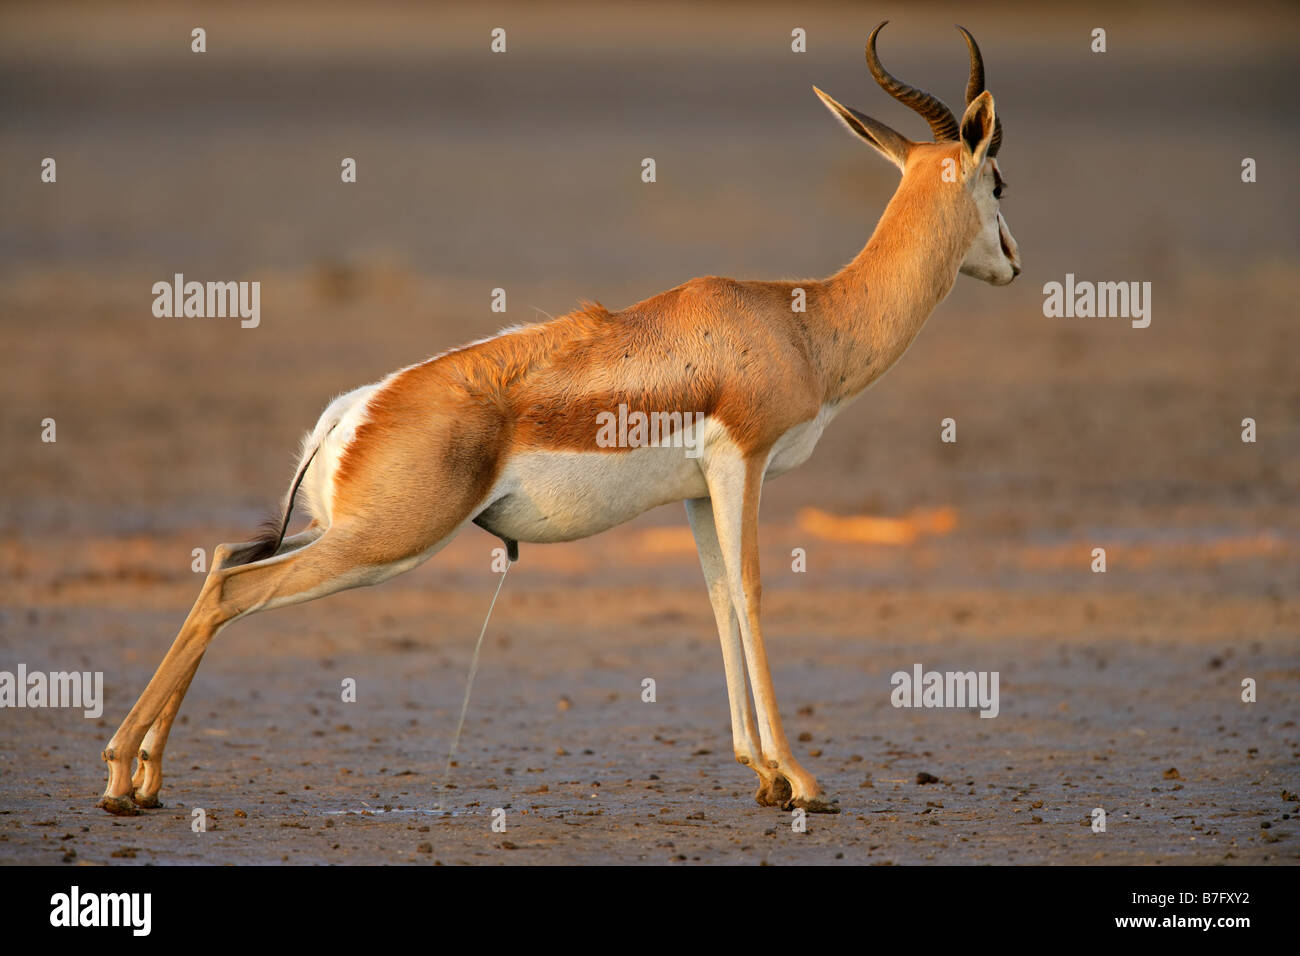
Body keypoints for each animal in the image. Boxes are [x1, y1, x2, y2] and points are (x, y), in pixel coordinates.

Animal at [98, 21, 1020, 816]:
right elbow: (754, 590)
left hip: (348, 533)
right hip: (388, 542)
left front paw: (761, 774)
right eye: (999, 180)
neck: (801, 321)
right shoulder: (743, 463)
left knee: (221, 562)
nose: (1014, 262)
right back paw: (118, 778)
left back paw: (144, 779)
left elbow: (719, 595)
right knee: (231, 589)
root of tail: (353, 408)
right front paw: (802, 780)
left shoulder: (699, 488)